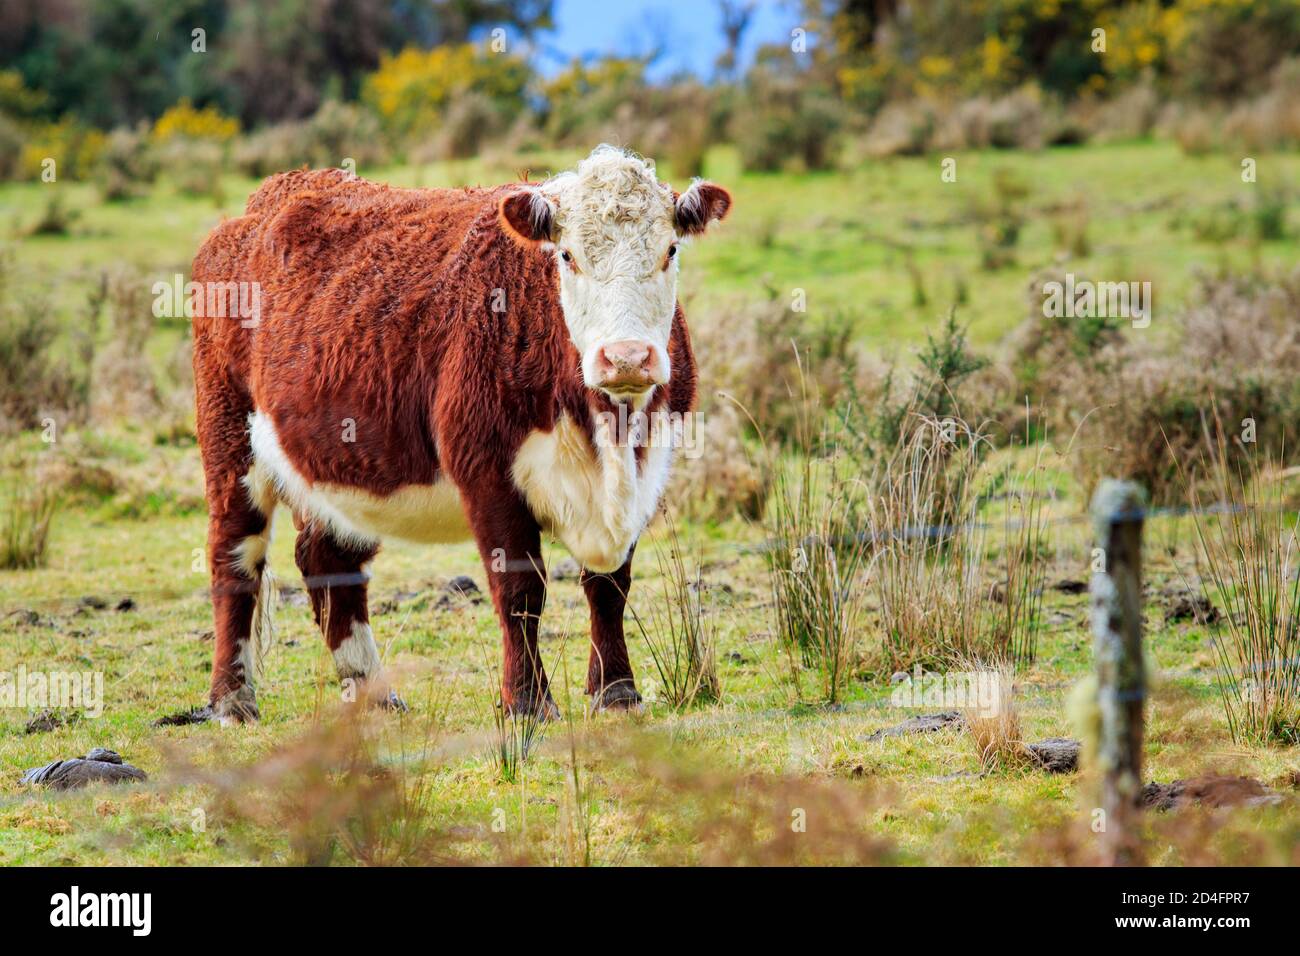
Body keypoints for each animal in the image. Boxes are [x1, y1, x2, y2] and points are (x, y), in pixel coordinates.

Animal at [189, 145, 731, 724]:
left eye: (669, 250)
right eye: (567, 256)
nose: (626, 357)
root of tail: (258, 205)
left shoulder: (648, 466)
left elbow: (609, 586)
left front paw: (617, 691)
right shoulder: (486, 471)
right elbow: (520, 587)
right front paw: (528, 701)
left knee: (329, 561)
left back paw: (374, 694)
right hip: (229, 436)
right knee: (234, 555)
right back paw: (232, 699)